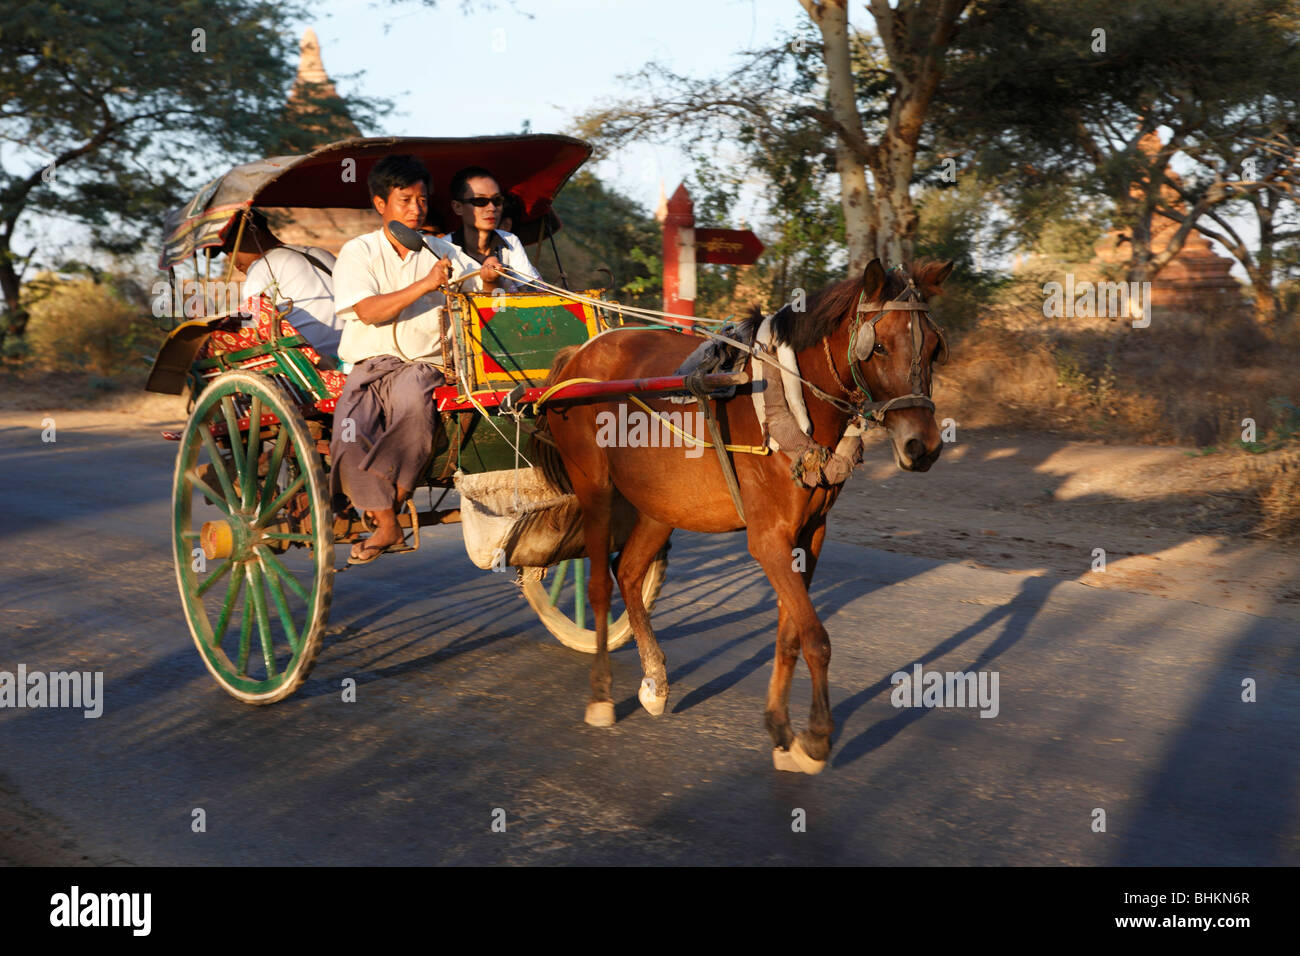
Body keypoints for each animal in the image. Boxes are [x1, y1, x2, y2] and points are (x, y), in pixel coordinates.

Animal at [533, 258, 952, 773]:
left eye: (934, 348)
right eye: (880, 346)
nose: (923, 446)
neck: (790, 399)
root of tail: (577, 358)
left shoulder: (810, 534)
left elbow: (790, 634)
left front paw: (780, 728)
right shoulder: (768, 538)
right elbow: (817, 639)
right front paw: (816, 738)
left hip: (661, 504)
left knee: (626, 573)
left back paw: (655, 681)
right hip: (594, 488)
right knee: (596, 586)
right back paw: (600, 695)